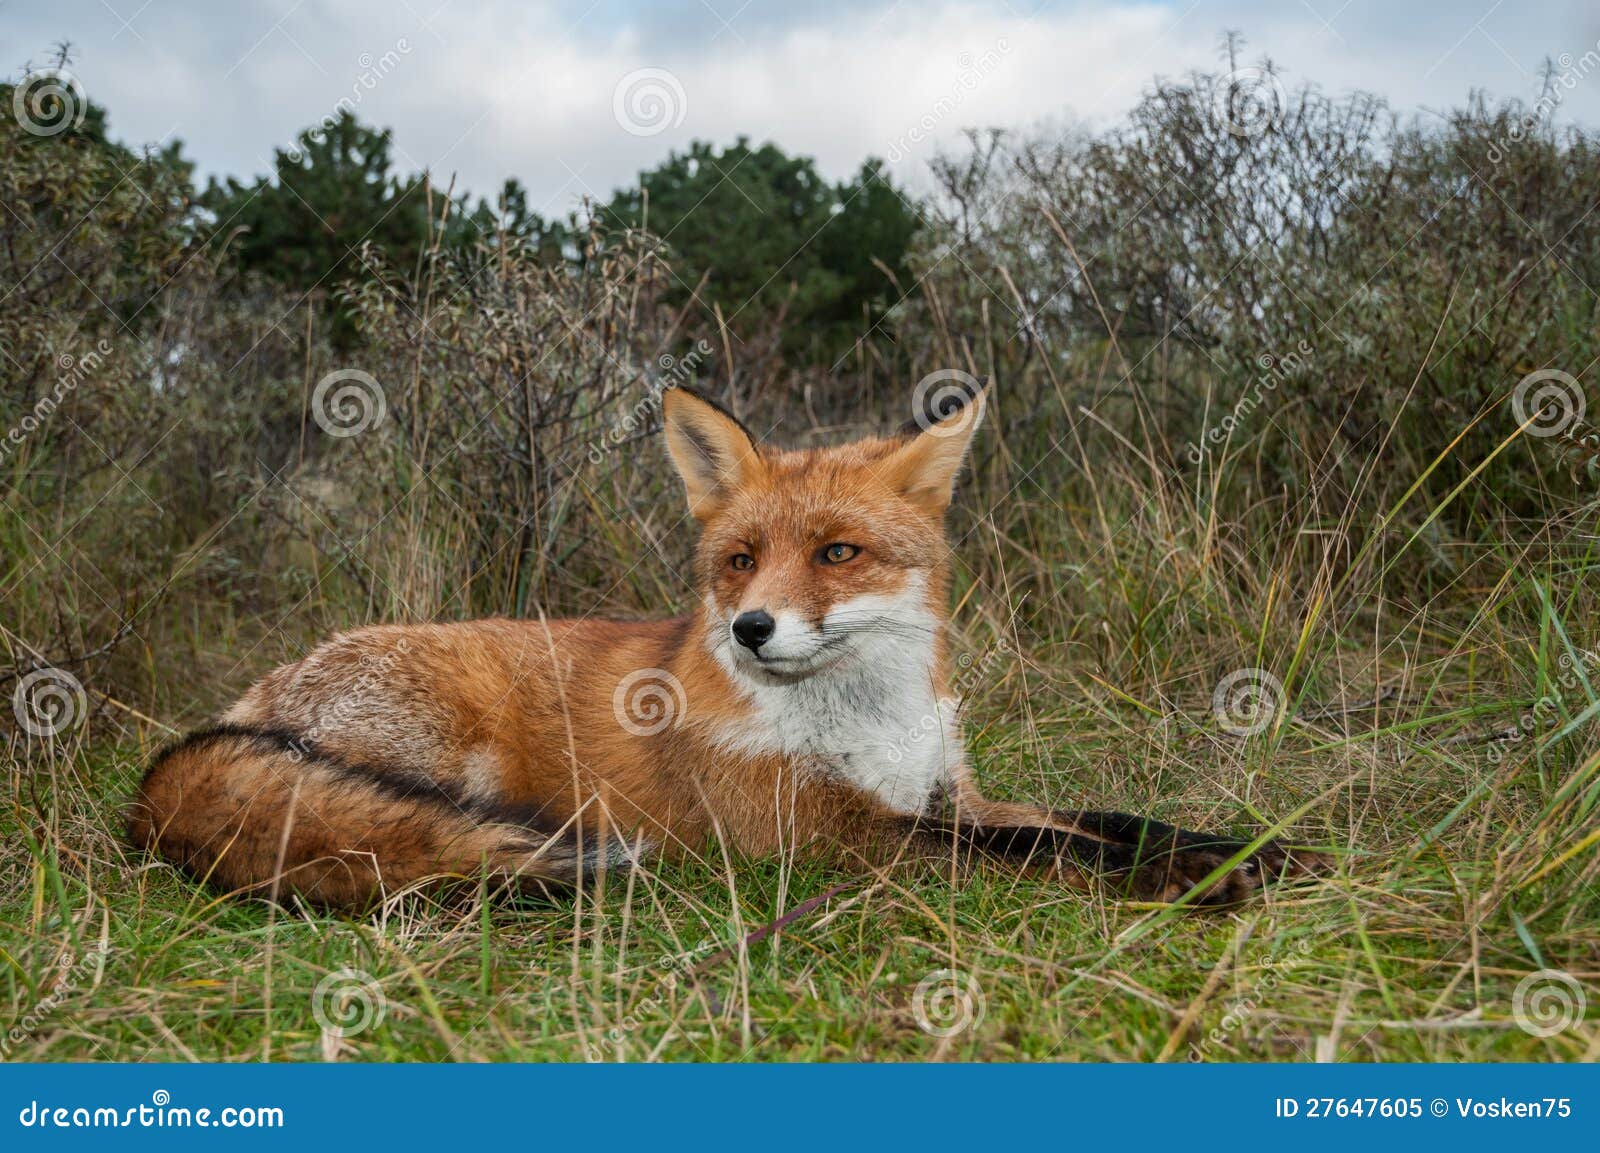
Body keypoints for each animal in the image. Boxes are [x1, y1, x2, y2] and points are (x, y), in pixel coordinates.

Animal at [129, 381, 1319, 908]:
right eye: (741, 560)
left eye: (837, 552)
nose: (752, 628)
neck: (869, 722)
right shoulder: (827, 836)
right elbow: (1041, 854)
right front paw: (1186, 884)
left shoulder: (950, 791)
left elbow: (1098, 820)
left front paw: (1236, 848)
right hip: (442, 771)